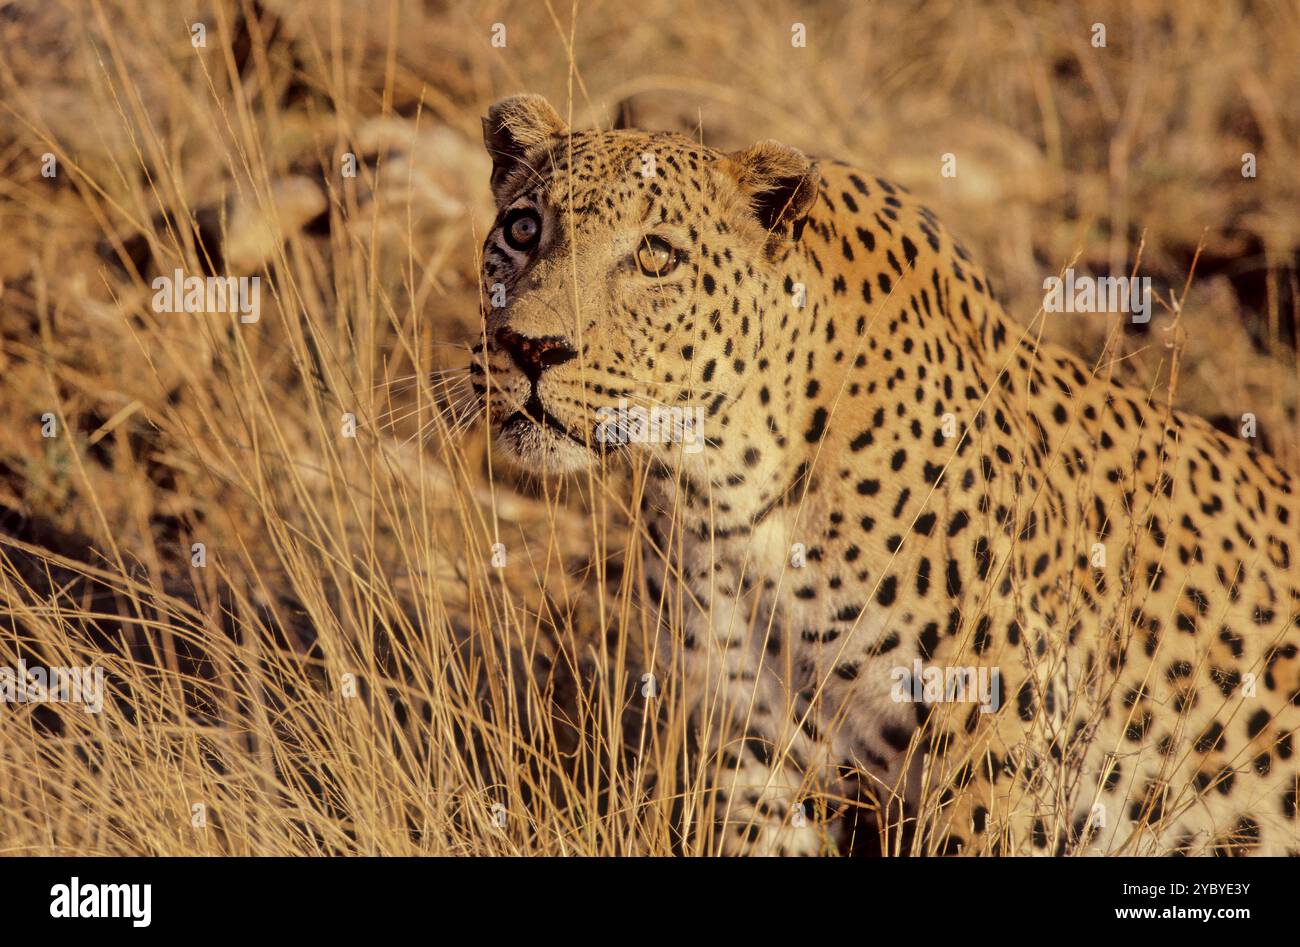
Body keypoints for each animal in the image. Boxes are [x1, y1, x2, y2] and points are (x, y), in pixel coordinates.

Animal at [470, 93, 1300, 856]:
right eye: (522, 229)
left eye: (655, 256)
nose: (529, 348)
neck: (730, 490)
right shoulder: (754, 750)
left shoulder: (993, 743)